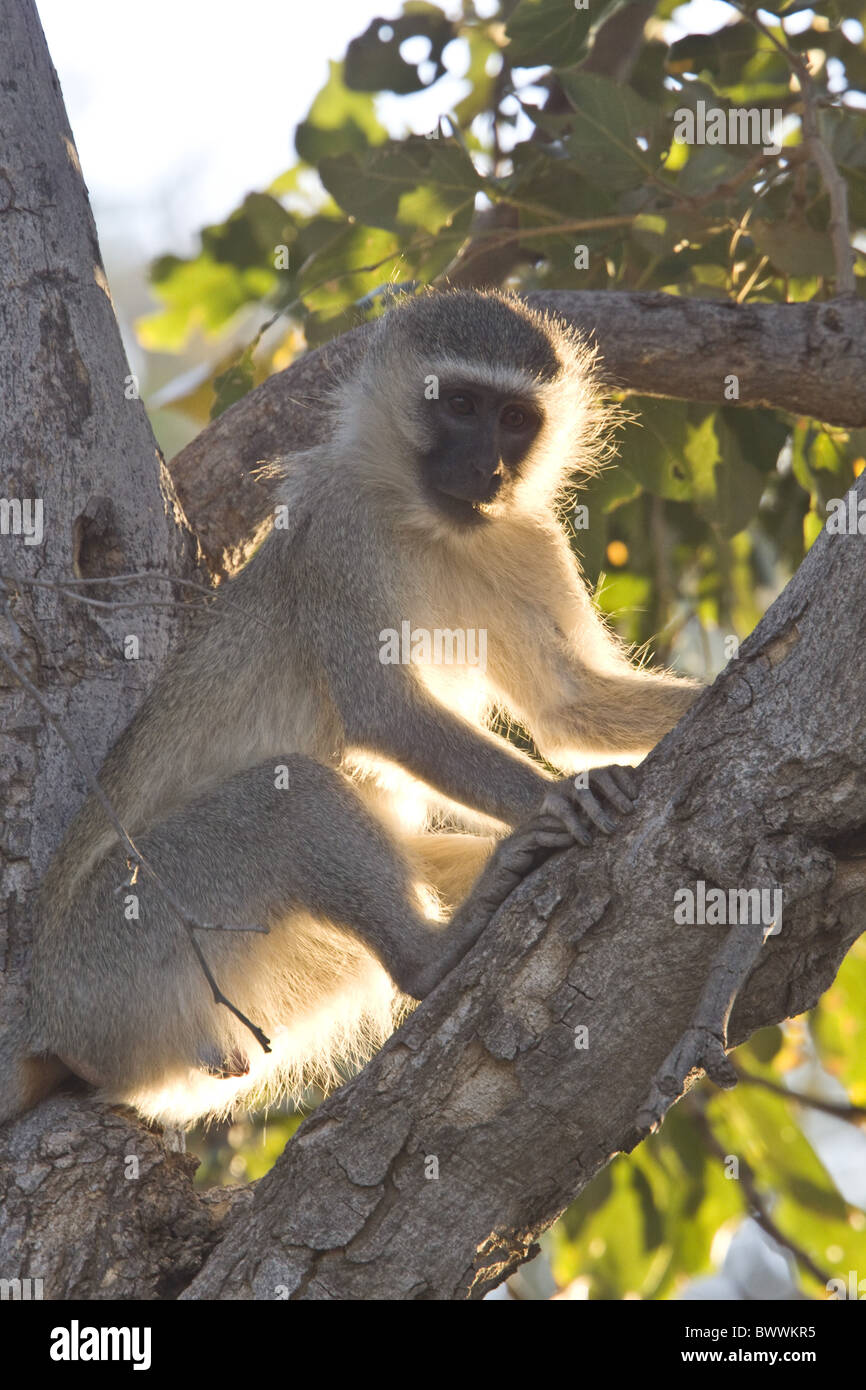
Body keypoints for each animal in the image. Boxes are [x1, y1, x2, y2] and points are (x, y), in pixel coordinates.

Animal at [1, 288, 699, 1130]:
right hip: (124, 943)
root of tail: (50, 1023)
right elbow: (385, 710)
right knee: (286, 797)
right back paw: (430, 956)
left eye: (515, 418)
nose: (489, 468)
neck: (426, 522)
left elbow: (572, 704)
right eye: (458, 405)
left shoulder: (525, 535)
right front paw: (566, 795)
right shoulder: (340, 525)